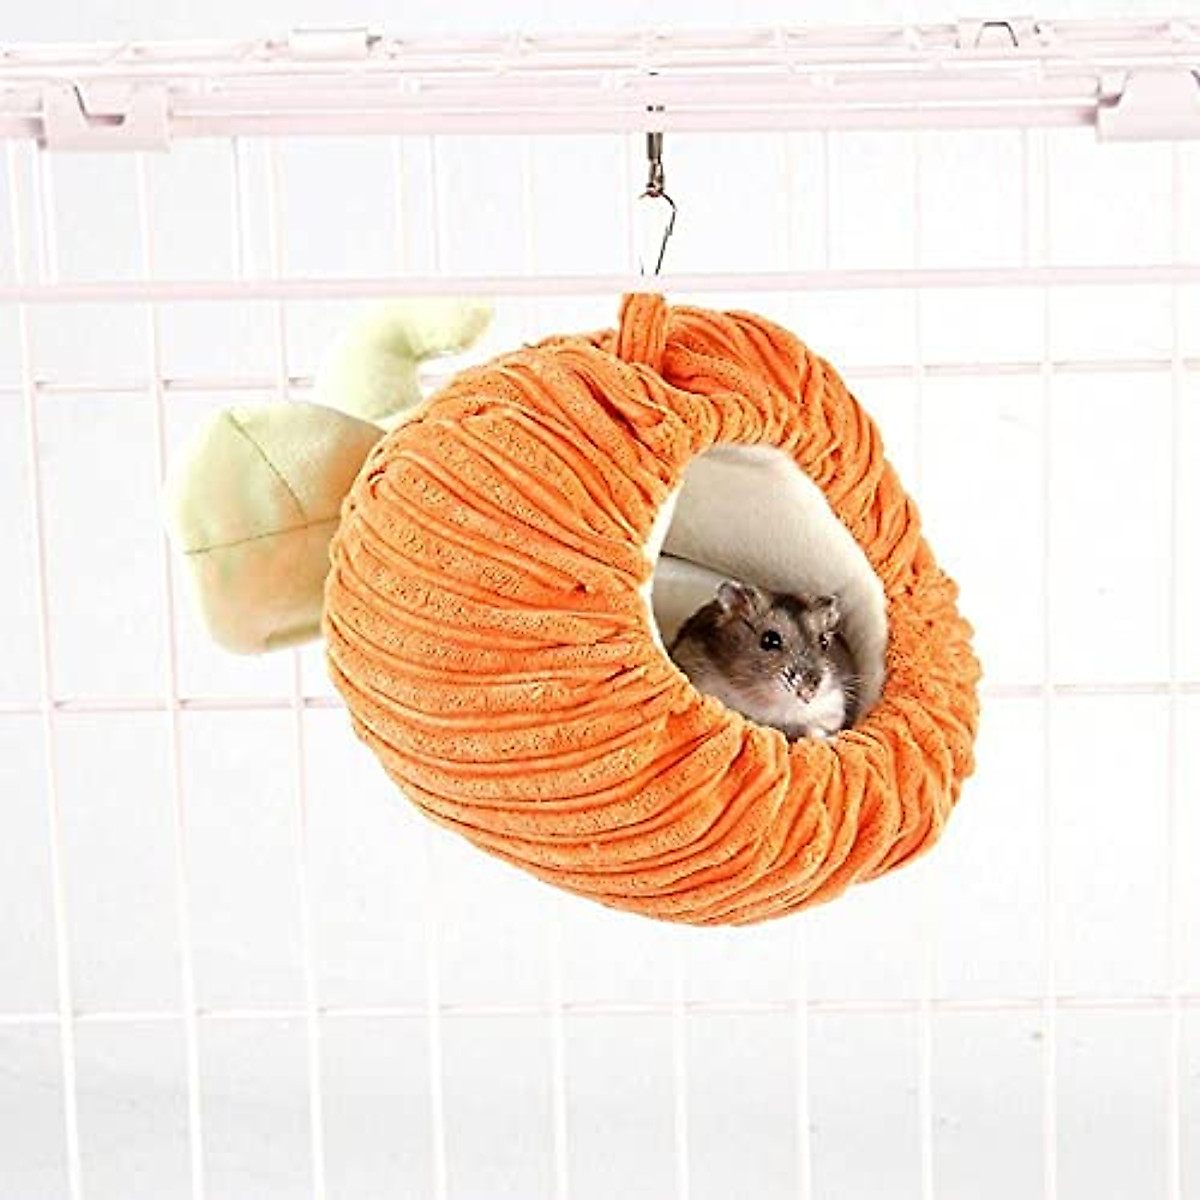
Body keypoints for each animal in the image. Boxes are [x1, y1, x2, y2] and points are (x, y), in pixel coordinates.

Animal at [668, 580, 860, 741]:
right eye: (769, 640)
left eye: (824, 642)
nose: (808, 693)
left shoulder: (831, 709)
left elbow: (814, 729)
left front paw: (829, 740)